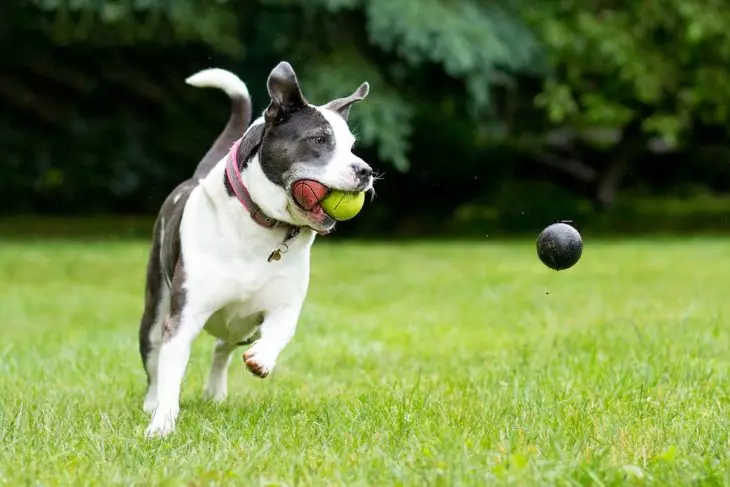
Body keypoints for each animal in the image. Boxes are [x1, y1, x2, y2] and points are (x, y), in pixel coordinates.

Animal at [136, 61, 372, 438]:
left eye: (351, 146)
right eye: (319, 140)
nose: (365, 171)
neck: (263, 225)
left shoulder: (284, 304)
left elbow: (281, 330)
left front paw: (262, 358)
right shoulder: (184, 317)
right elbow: (171, 370)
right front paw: (161, 424)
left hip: (240, 327)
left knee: (222, 347)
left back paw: (215, 392)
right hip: (154, 306)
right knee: (155, 354)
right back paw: (150, 402)